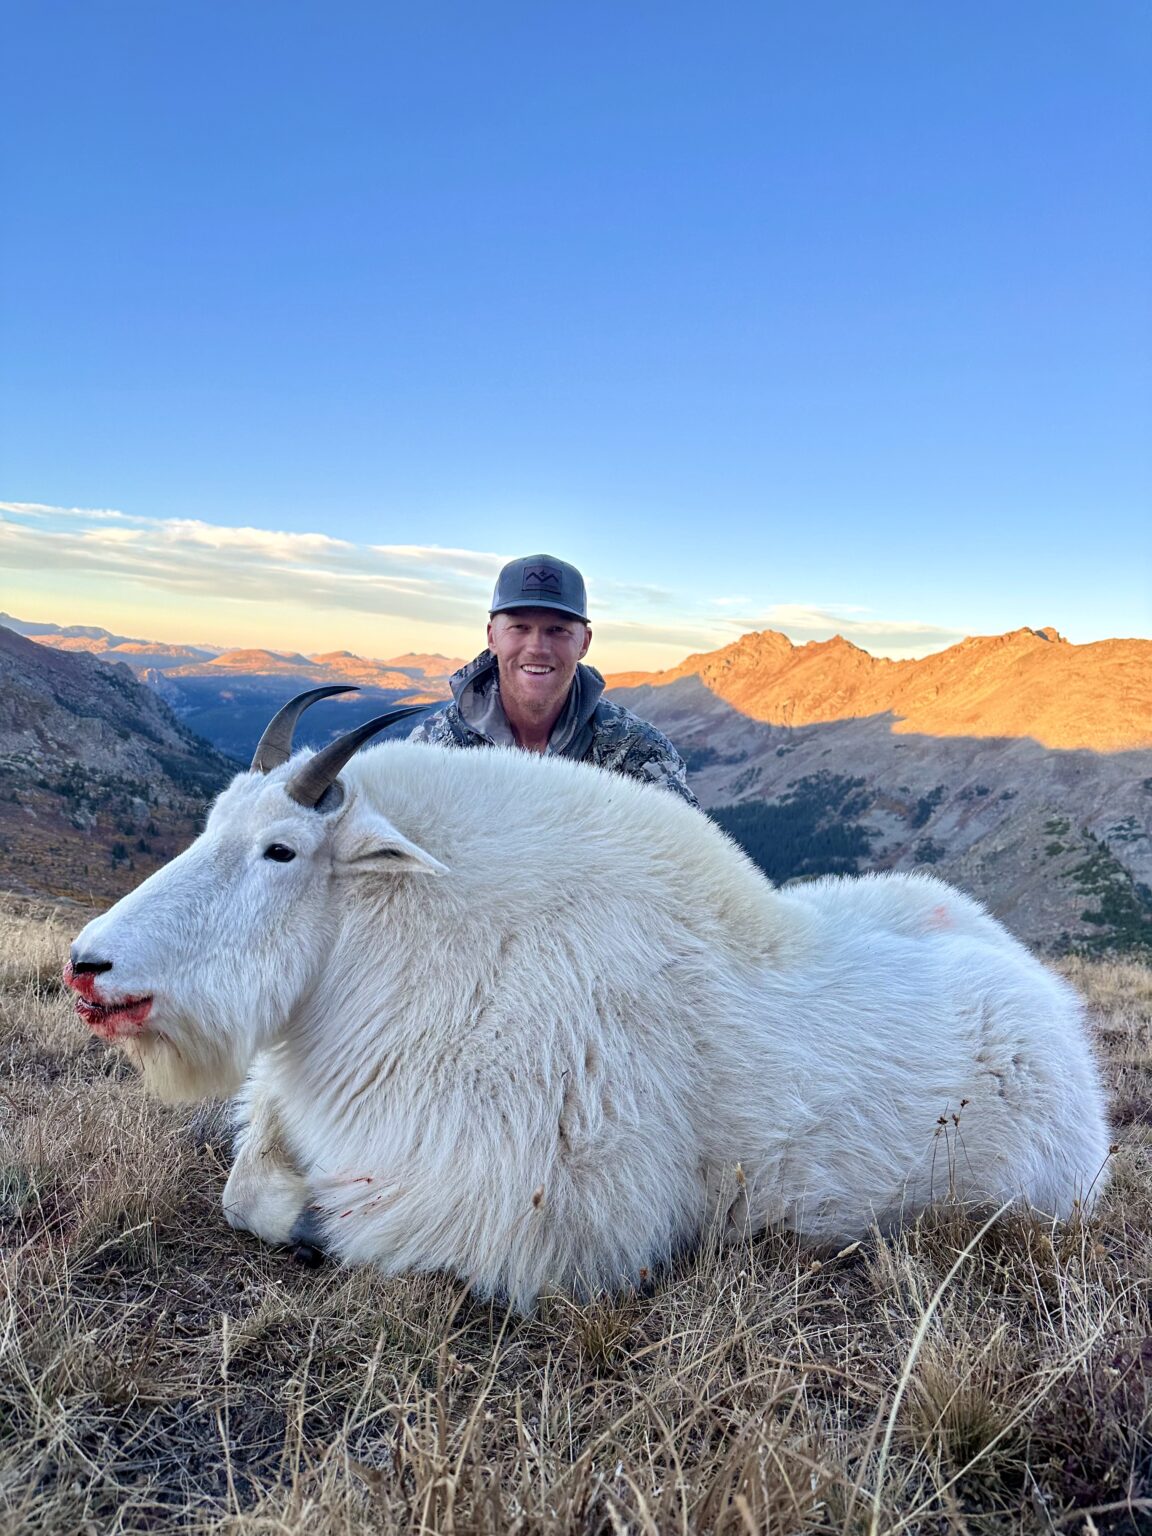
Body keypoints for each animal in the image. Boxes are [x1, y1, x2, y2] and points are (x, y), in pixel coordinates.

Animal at [65, 688, 1111, 1311]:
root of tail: (1062, 1026)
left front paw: (309, 1231)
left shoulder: (523, 1217)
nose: (88, 966)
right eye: (211, 822)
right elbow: (244, 1187)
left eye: (280, 850)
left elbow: (313, 1214)